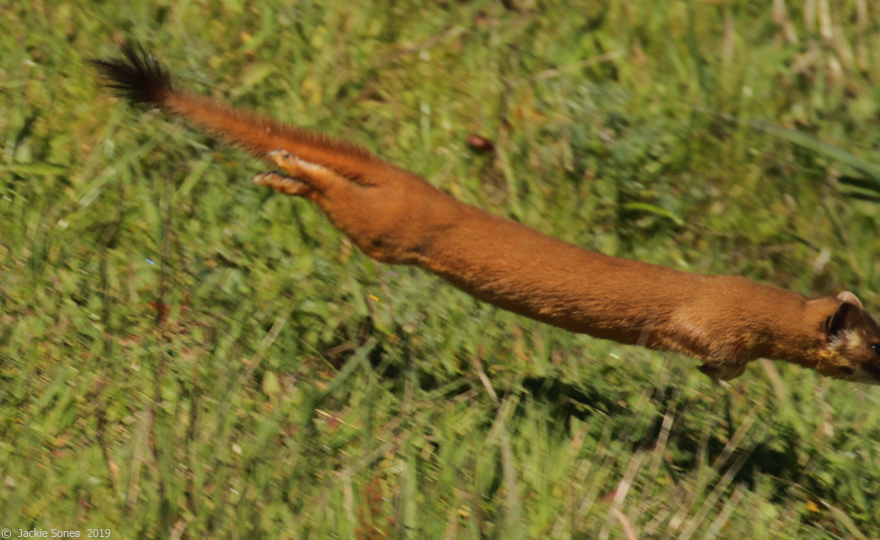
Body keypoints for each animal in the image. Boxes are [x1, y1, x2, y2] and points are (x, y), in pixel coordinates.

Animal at [93, 44, 880, 384]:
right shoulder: (712, 320)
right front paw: (720, 375)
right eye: (876, 349)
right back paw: (292, 171)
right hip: (389, 233)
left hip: (389, 211)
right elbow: (706, 347)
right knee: (343, 201)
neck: (753, 300)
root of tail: (416, 184)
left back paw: (282, 168)